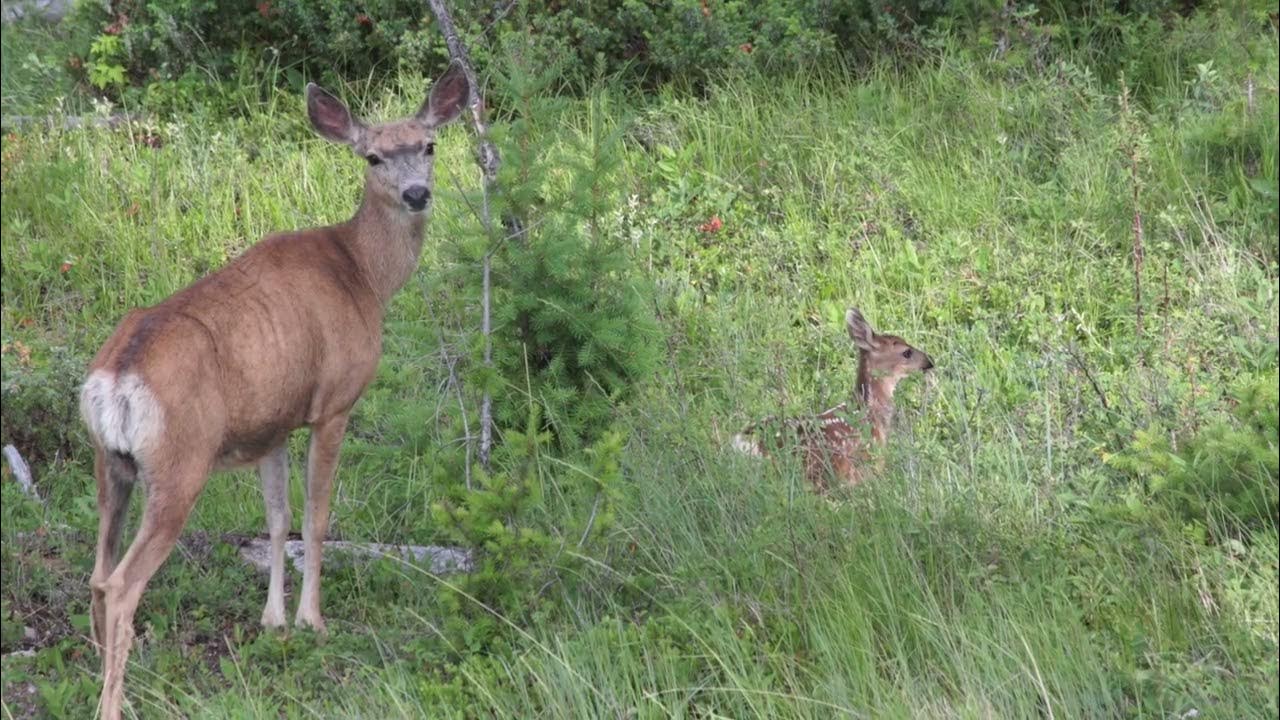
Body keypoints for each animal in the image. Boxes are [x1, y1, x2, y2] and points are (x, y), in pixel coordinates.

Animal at [77, 62, 471, 720]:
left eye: (430, 145)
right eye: (372, 157)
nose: (418, 194)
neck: (365, 275)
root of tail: (116, 378)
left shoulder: (272, 425)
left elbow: (277, 519)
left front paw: (274, 620)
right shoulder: (333, 402)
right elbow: (316, 516)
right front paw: (313, 620)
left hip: (110, 465)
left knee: (95, 575)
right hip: (180, 466)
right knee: (121, 582)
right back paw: (113, 704)